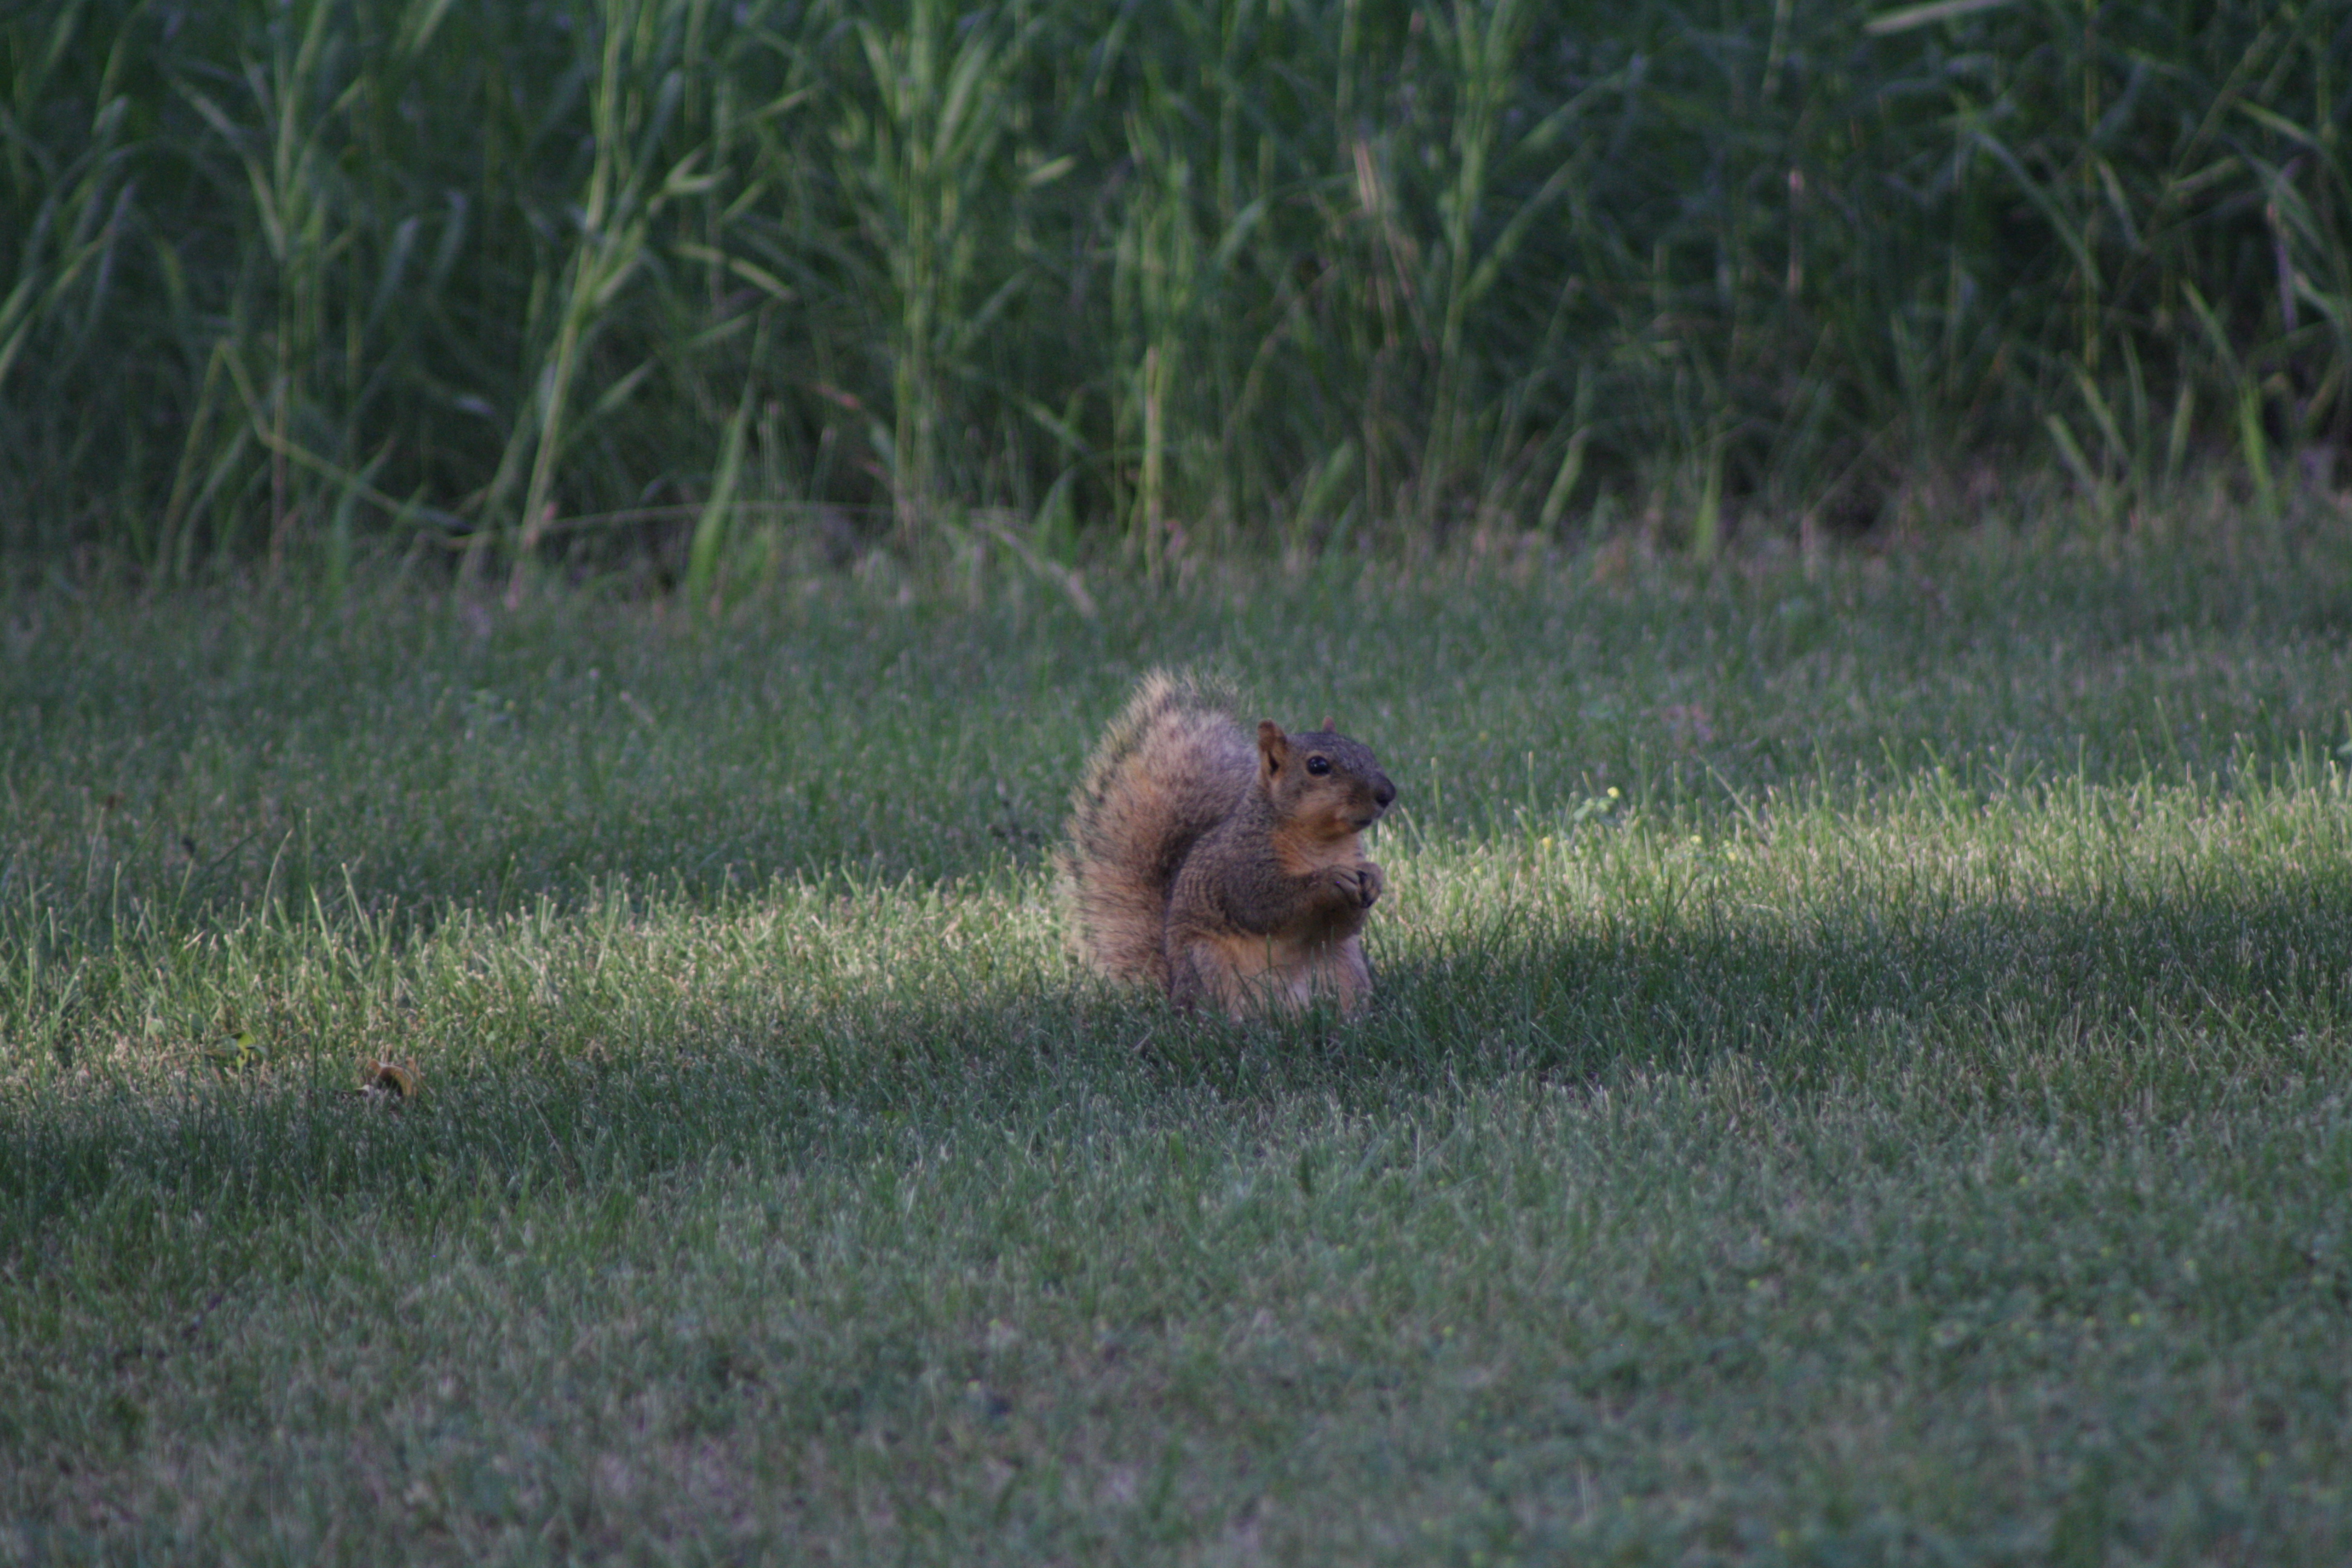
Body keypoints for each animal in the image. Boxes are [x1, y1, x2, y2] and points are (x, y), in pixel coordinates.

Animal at [1058, 670, 1397, 1018]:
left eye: (1368, 752)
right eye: (1318, 766)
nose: (1387, 793)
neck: (1322, 841)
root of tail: (1175, 996)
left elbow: (1345, 926)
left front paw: (1375, 876)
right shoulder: (1242, 863)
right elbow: (1264, 903)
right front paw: (1330, 879)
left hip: (1346, 965)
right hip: (1210, 964)